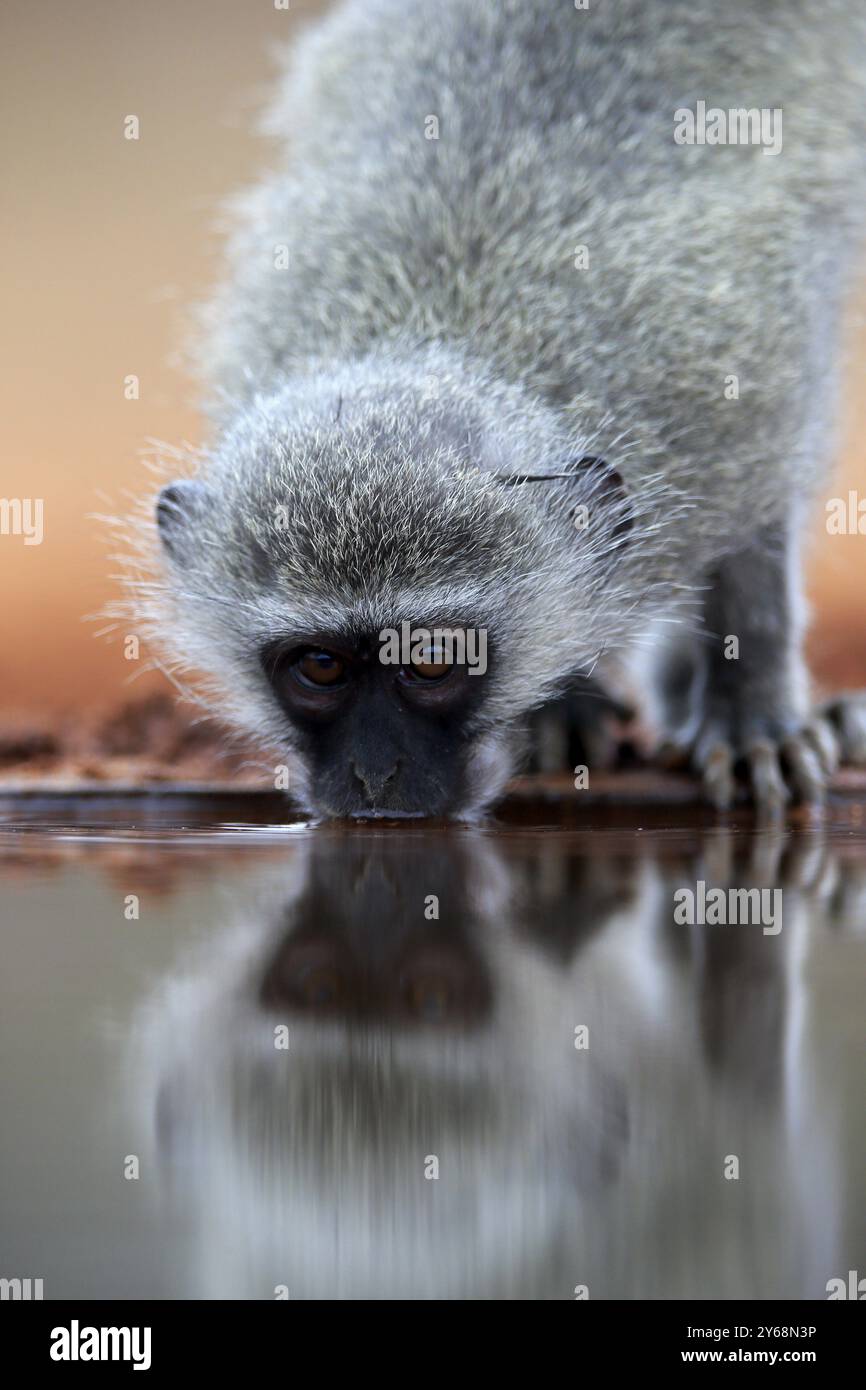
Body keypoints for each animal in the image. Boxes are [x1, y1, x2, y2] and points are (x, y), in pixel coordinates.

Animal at [120, 0, 866, 819]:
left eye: (435, 662)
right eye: (319, 667)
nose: (375, 781)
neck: (442, 331)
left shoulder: (732, 394)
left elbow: (755, 550)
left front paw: (751, 710)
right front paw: (564, 705)